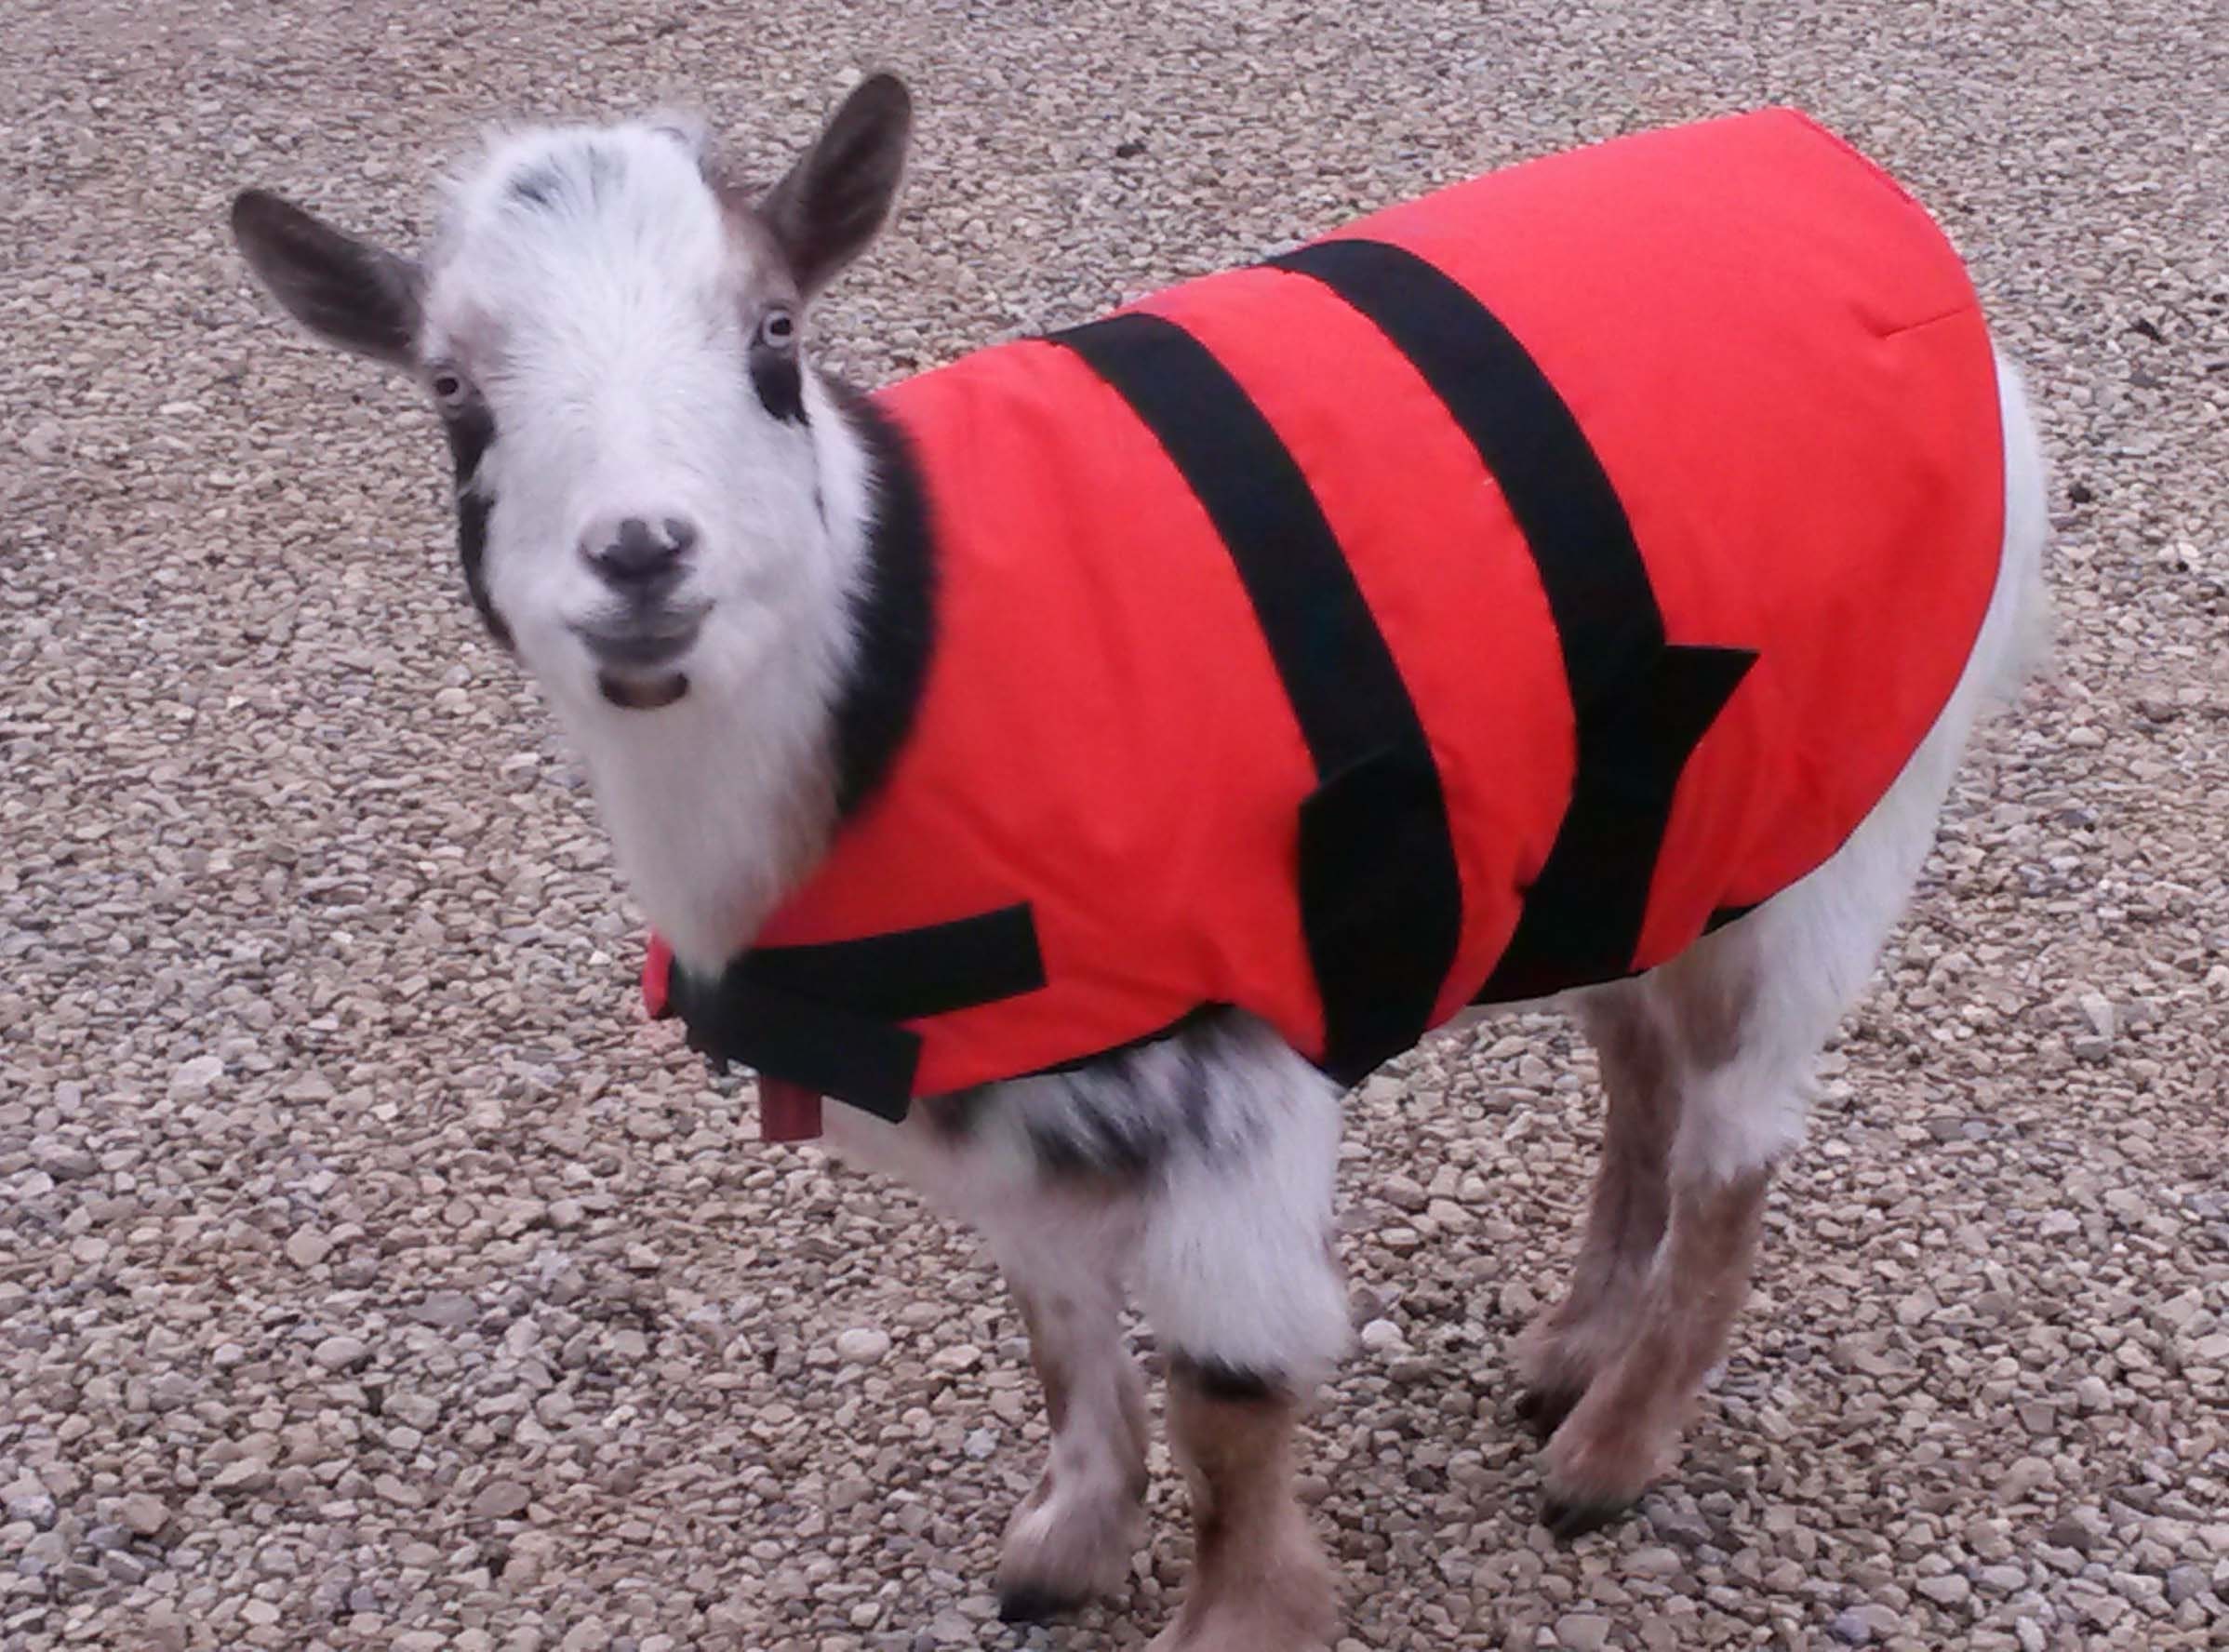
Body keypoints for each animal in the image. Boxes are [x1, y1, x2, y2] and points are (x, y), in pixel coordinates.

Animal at [229, 74, 2049, 1651]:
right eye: (451, 386)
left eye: (772, 333)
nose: (640, 556)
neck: (891, 664)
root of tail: (1873, 213)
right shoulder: (994, 1079)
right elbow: (1058, 1329)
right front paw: (1065, 1547)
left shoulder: (1221, 1067)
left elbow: (1225, 1396)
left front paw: (1235, 1617)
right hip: (1650, 824)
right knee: (1639, 1064)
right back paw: (1572, 1347)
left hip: (1834, 813)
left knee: (1740, 1132)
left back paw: (1610, 1448)